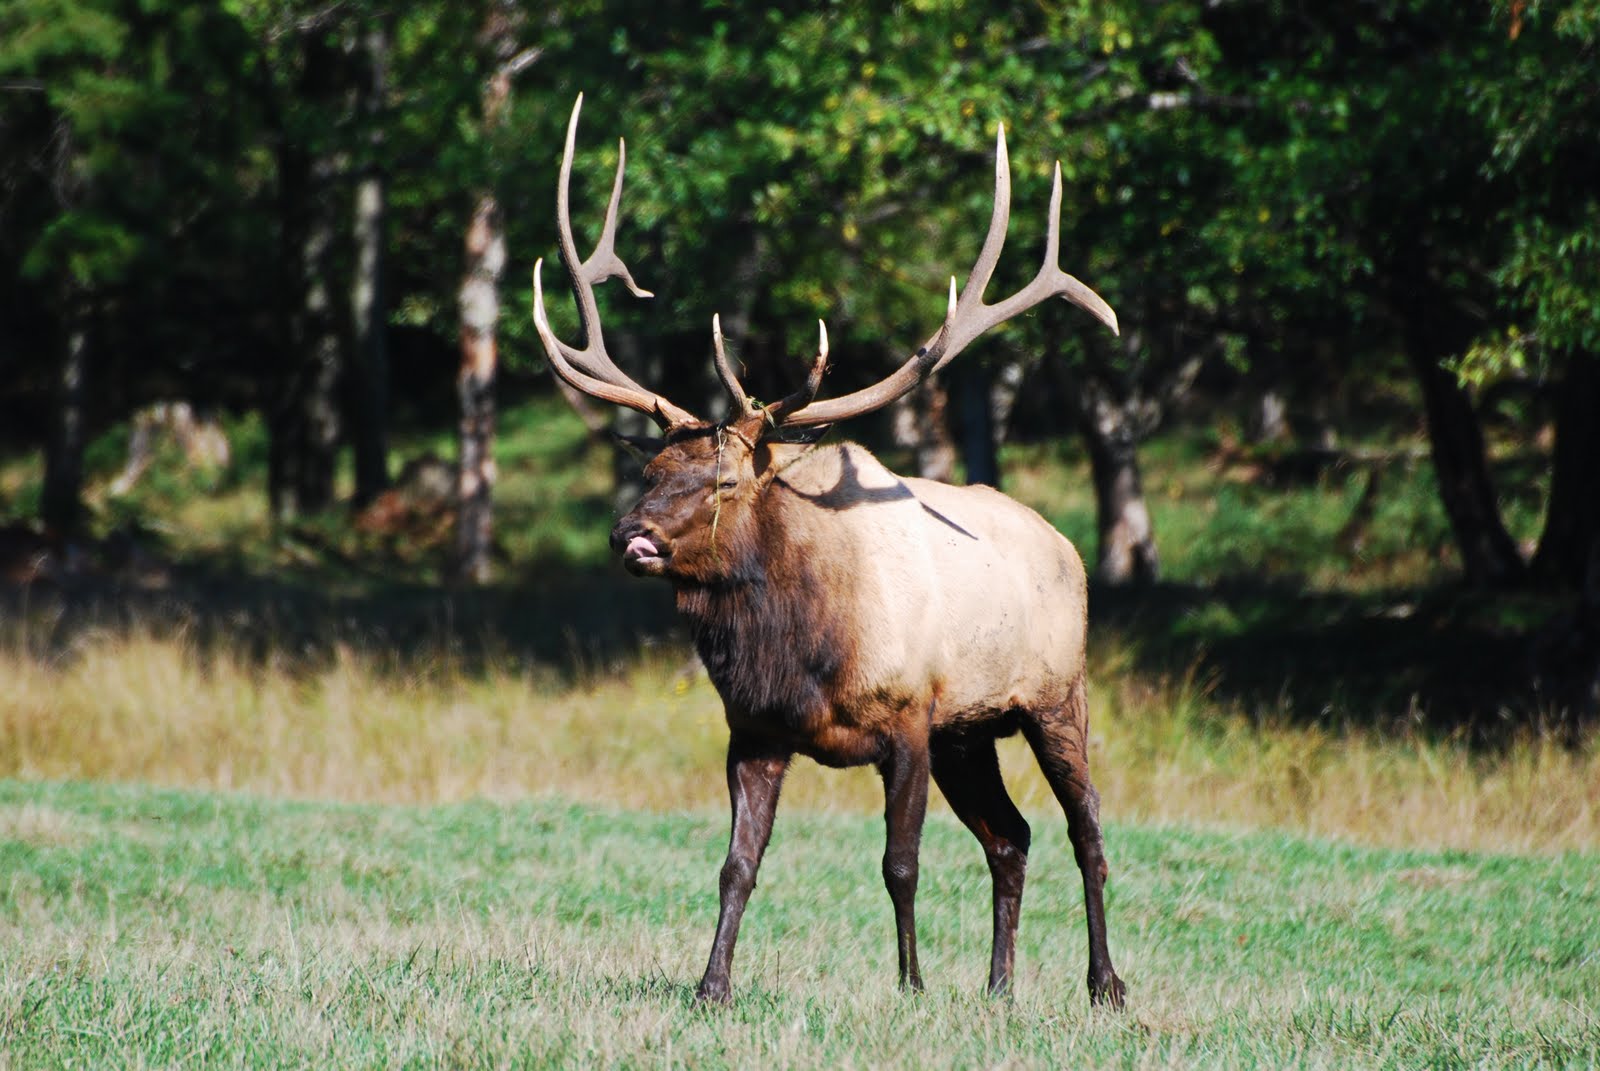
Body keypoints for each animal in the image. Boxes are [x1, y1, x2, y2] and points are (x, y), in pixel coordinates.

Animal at [532, 94, 1127, 1010]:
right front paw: (711, 986)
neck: (801, 649)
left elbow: (900, 864)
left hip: (1055, 693)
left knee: (1084, 825)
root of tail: (1067, 543)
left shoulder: (911, 717)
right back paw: (998, 986)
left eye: (725, 480)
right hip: (971, 731)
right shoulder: (756, 729)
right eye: (655, 467)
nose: (631, 535)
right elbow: (736, 865)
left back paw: (1104, 983)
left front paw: (911, 984)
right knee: (1012, 835)